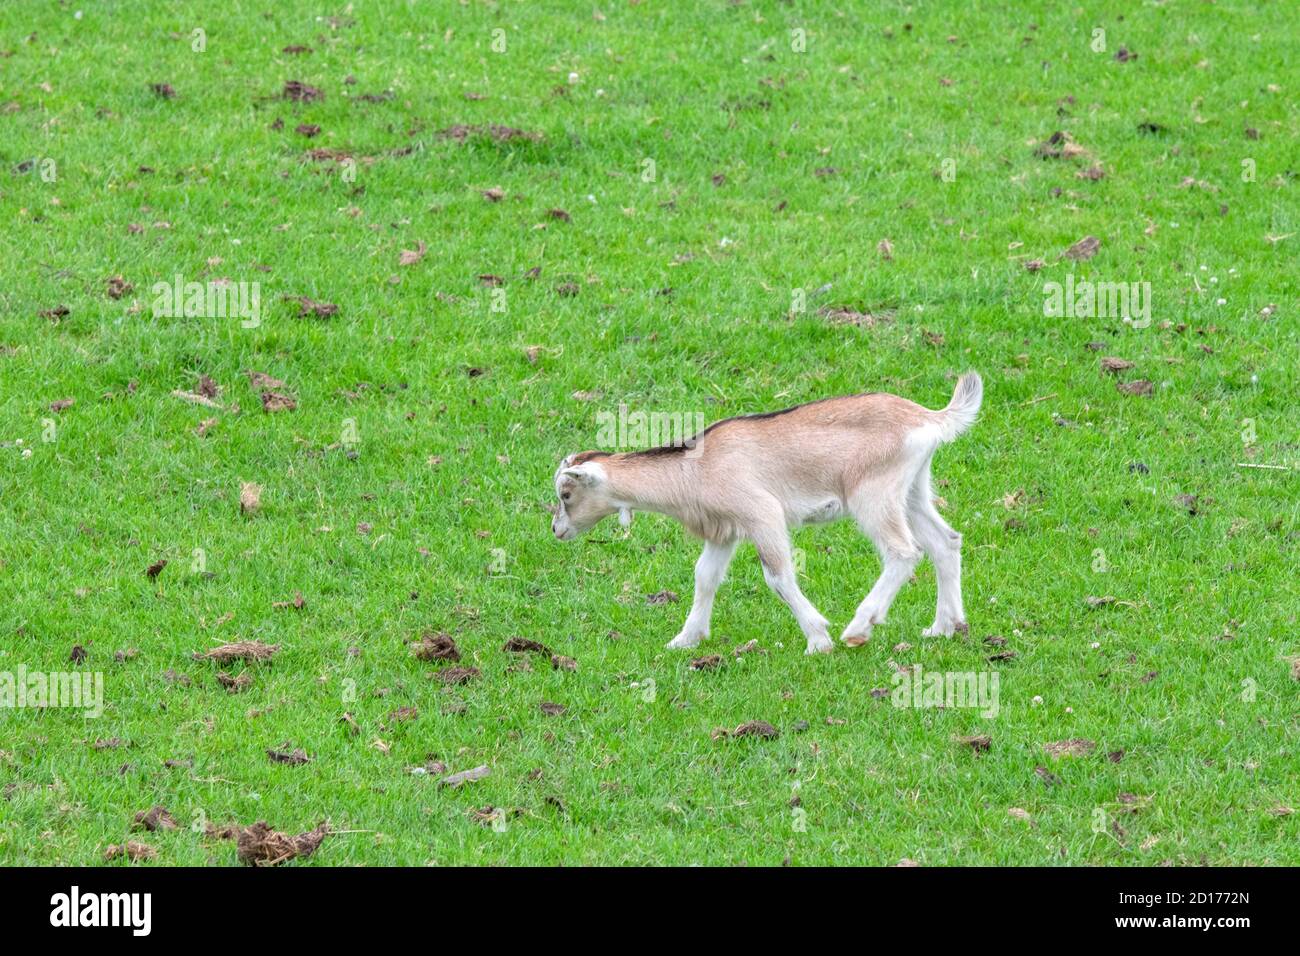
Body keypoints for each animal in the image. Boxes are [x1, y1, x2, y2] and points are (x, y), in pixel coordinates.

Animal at [552, 372, 982, 655]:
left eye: (566, 493)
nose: (556, 530)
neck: (696, 466)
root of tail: (928, 418)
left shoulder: (761, 514)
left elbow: (777, 576)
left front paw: (818, 639)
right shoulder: (724, 529)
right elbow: (704, 577)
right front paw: (685, 639)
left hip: (873, 493)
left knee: (903, 551)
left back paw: (859, 627)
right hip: (911, 490)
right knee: (945, 542)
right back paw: (943, 628)